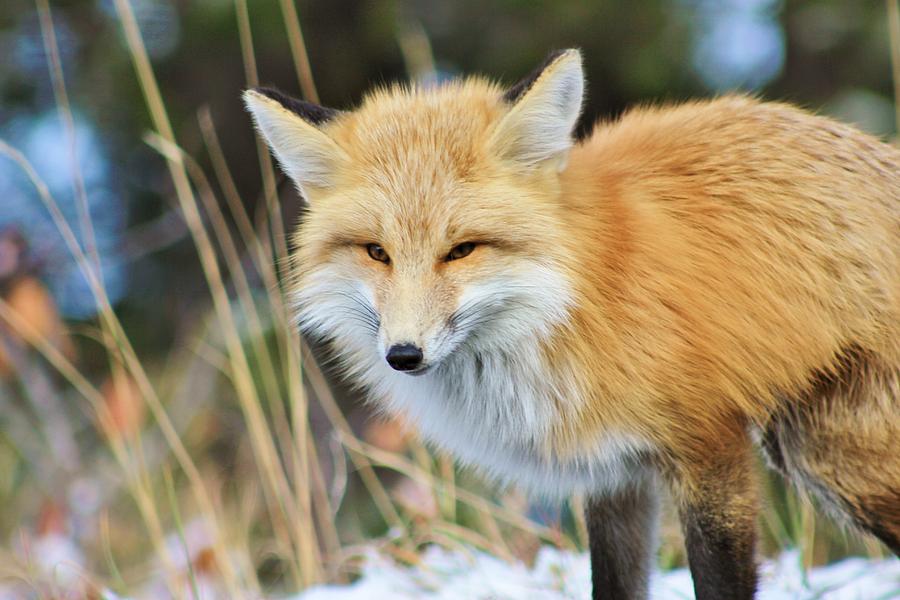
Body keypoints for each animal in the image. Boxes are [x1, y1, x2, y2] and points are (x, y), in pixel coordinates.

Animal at [244, 49, 900, 600]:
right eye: (376, 252)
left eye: (462, 250)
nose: (404, 355)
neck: (577, 301)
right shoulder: (614, 476)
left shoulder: (711, 449)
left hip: (834, 457)